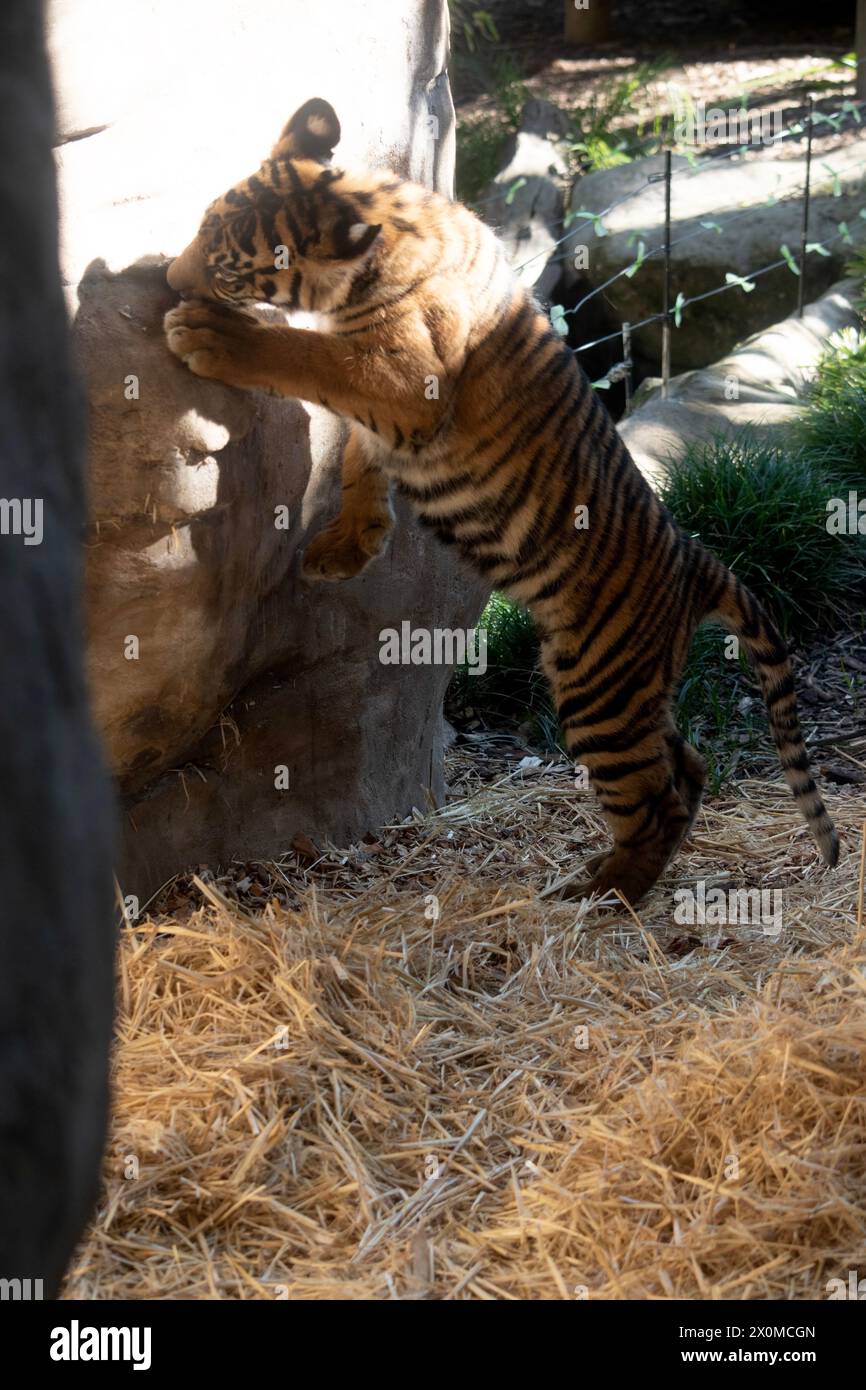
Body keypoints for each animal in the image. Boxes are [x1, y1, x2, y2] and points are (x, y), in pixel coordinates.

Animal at [163, 96, 839, 906]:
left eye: (225, 266)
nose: (168, 277)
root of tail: (695, 563)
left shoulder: (406, 382)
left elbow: (308, 358)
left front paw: (212, 336)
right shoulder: (386, 411)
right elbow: (359, 455)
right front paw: (349, 547)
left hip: (600, 687)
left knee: (657, 797)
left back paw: (602, 891)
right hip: (636, 689)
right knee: (689, 763)